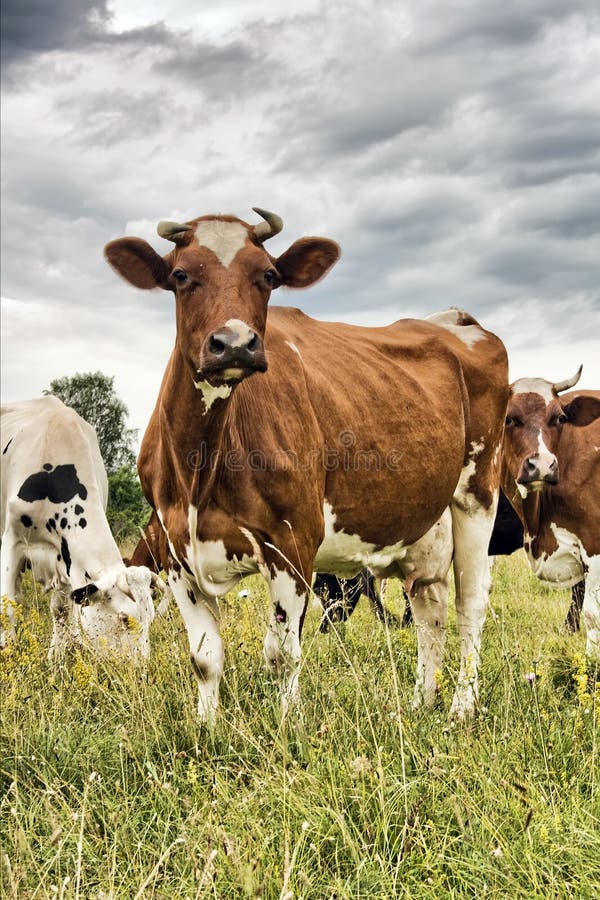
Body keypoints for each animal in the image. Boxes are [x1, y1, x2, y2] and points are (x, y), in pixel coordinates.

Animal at [1, 397, 164, 658]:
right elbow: (7, 608)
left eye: (149, 619)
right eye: (124, 619)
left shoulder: (65, 556)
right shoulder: (12, 542)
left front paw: (55, 658)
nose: (142, 667)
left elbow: (60, 611)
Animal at [105, 207, 508, 721]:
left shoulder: (292, 539)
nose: (235, 343)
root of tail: (452, 317)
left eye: (268, 276)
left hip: (478, 491)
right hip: (425, 526)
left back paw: (461, 706)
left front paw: (287, 725)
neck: (201, 469)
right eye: (180, 276)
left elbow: (281, 653)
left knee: (469, 604)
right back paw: (420, 701)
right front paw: (206, 726)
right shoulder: (174, 548)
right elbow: (204, 658)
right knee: (428, 607)